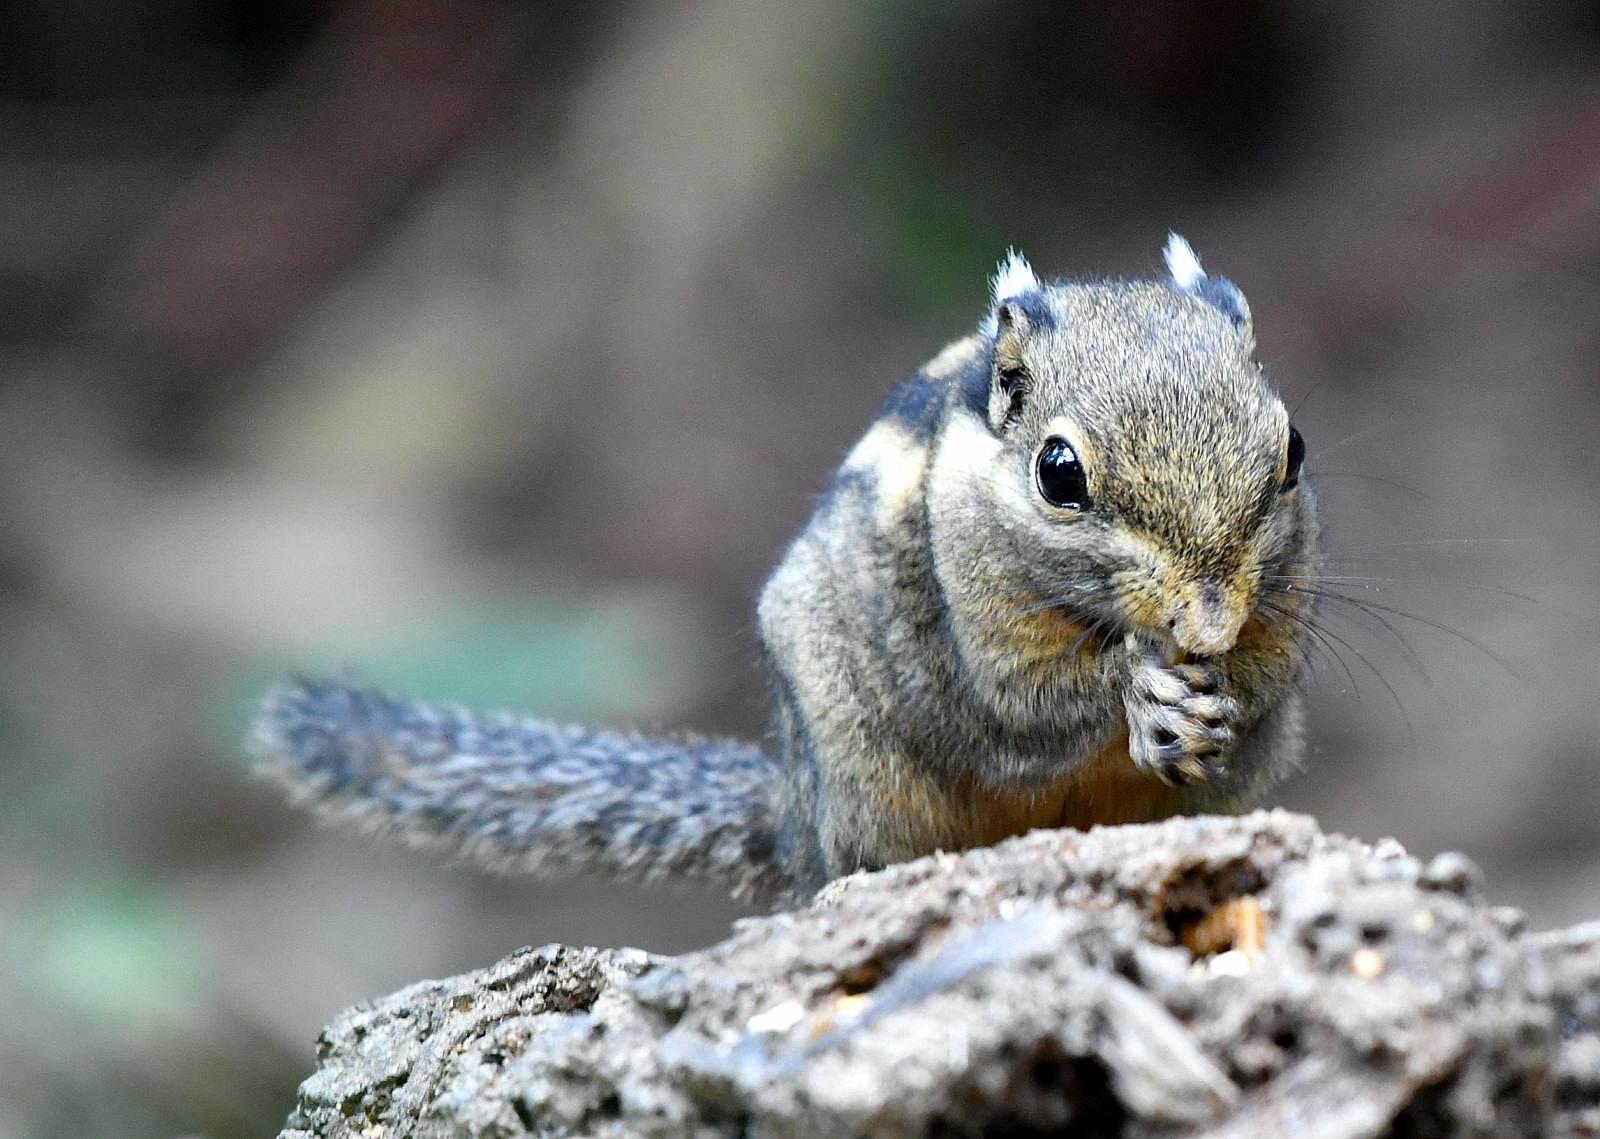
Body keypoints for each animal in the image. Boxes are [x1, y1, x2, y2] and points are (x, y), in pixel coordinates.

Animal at [254, 234, 1320, 907]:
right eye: (1060, 472)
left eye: (1294, 449)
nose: (1208, 622)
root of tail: (795, 818)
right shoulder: (976, 625)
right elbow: (1025, 699)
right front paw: (1144, 690)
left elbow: (1271, 670)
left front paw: (1217, 687)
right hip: (862, 775)